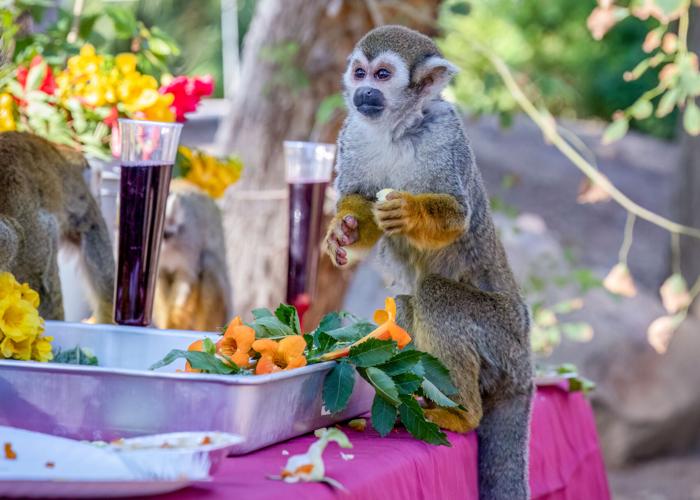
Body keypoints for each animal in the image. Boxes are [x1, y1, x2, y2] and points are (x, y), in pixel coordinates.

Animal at [153, 178, 232, 331]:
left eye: (164, 234)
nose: (159, 247)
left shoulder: (189, 236)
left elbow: (187, 274)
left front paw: (175, 320)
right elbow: (159, 277)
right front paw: (169, 323)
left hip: (224, 311)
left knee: (209, 260)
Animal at [324, 26, 533, 499]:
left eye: (383, 75)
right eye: (360, 72)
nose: (363, 91)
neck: (395, 130)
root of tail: (527, 366)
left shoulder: (446, 134)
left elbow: (457, 216)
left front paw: (408, 213)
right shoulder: (352, 134)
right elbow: (361, 204)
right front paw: (343, 230)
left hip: (504, 341)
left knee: (434, 295)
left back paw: (462, 414)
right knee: (405, 305)